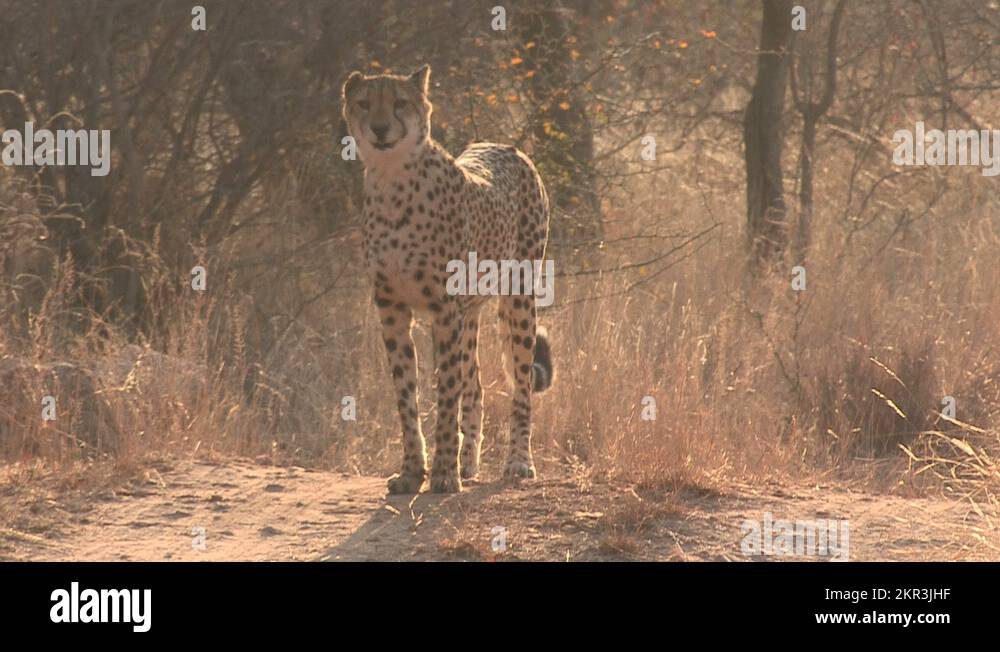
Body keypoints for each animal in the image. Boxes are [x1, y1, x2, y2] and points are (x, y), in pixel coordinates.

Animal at [341, 64, 553, 494]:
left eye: (400, 102)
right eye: (365, 103)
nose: (380, 128)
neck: (392, 180)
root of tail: (505, 146)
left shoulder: (443, 308)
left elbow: (445, 396)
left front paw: (441, 472)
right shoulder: (392, 308)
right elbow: (407, 395)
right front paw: (412, 471)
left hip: (519, 296)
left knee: (521, 384)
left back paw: (518, 462)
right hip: (469, 312)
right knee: (476, 387)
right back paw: (468, 461)